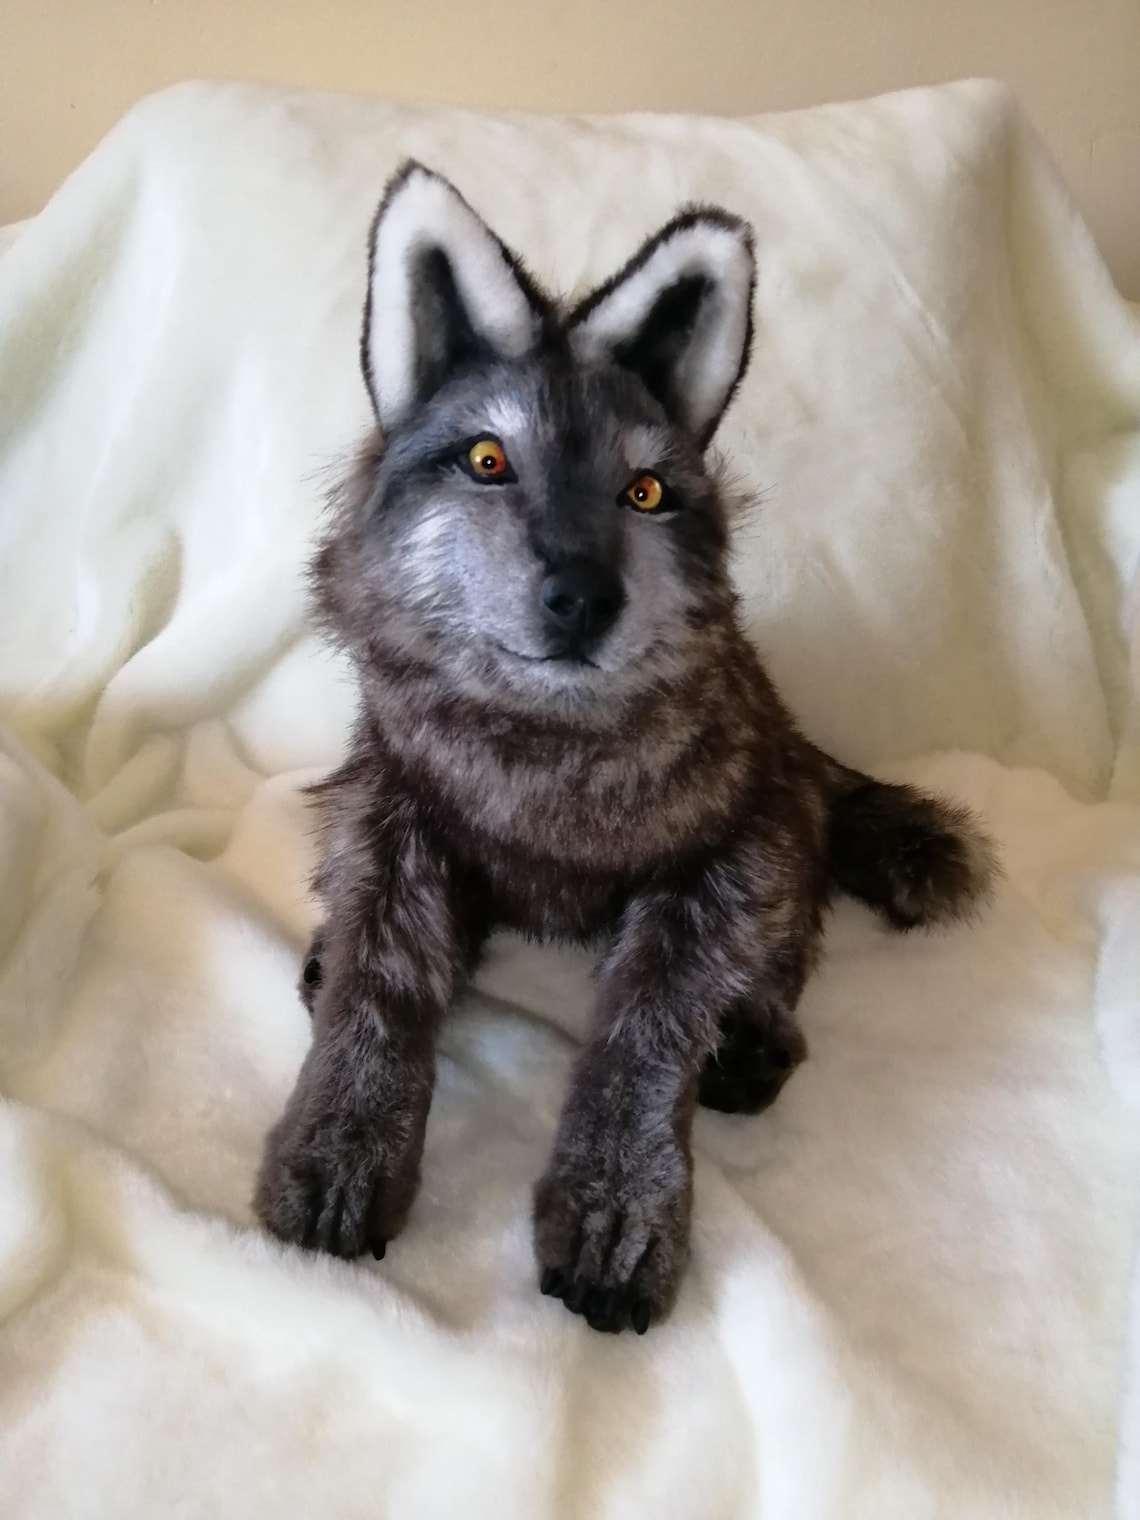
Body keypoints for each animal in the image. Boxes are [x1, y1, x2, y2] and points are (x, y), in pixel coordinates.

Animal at [254, 162, 996, 1335]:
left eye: (643, 491)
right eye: (487, 460)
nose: (582, 595)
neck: (538, 769)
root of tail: (804, 738)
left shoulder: (726, 858)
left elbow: (643, 1037)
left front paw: (616, 1209)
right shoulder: (389, 809)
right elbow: (380, 985)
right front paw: (341, 1144)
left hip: (785, 809)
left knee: (797, 939)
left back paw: (751, 1034)